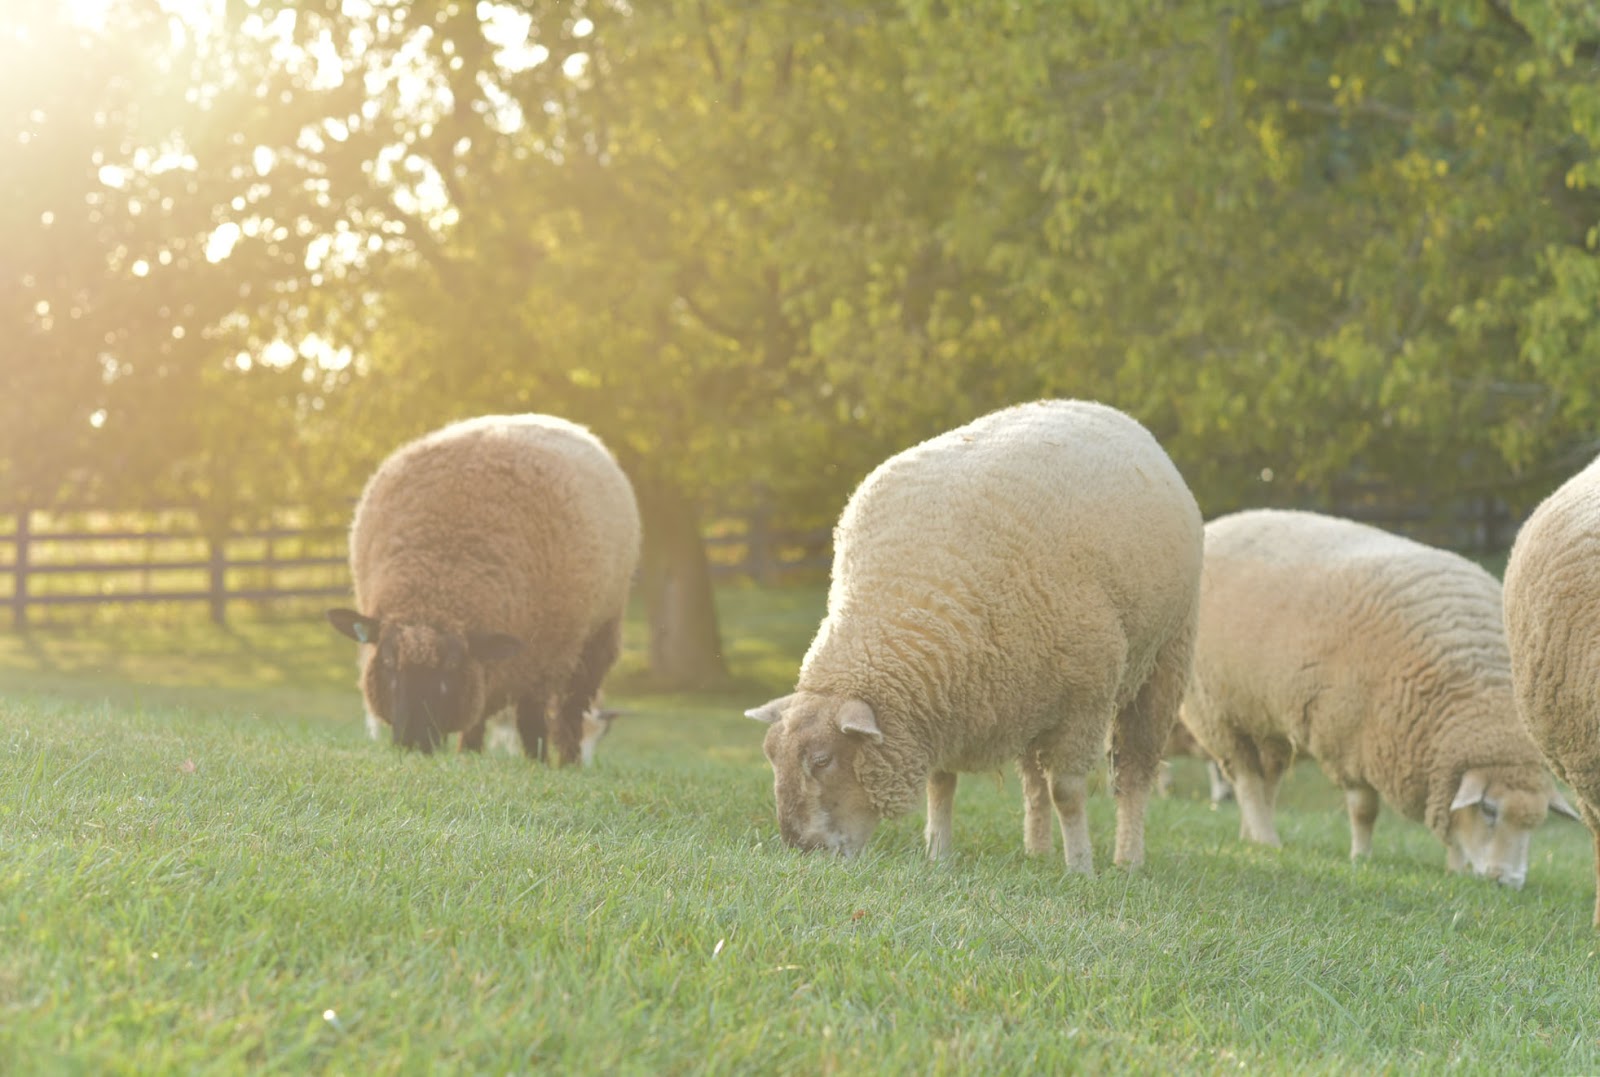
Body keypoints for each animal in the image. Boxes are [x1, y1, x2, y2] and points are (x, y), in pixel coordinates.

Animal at [328, 413, 640, 763]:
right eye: (387, 662)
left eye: (452, 666)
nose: (414, 743)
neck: (436, 581)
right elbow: (478, 718)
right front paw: (469, 754)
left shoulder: (541, 659)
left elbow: (530, 720)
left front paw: (536, 762)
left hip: (592, 639)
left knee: (569, 707)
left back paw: (566, 761)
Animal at [745, 399, 1204, 872]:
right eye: (770, 755)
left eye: (822, 760)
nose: (802, 849)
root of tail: (1096, 406)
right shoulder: (944, 703)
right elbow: (941, 783)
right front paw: (938, 857)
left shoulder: (1085, 699)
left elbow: (1068, 792)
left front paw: (1080, 868)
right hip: (1033, 695)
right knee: (1033, 782)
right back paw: (1037, 851)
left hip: (1164, 658)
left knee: (1134, 771)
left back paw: (1127, 859)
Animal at [1181, 508, 1578, 886]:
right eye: (1490, 810)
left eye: (1536, 821)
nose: (1508, 883)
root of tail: (1220, 524)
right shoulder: (1349, 741)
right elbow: (1364, 811)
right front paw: (1361, 857)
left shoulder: (1436, 764)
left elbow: (1451, 822)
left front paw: (1456, 868)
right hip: (1218, 713)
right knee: (1247, 779)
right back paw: (1267, 841)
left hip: (1263, 718)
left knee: (1266, 781)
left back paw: (1250, 836)